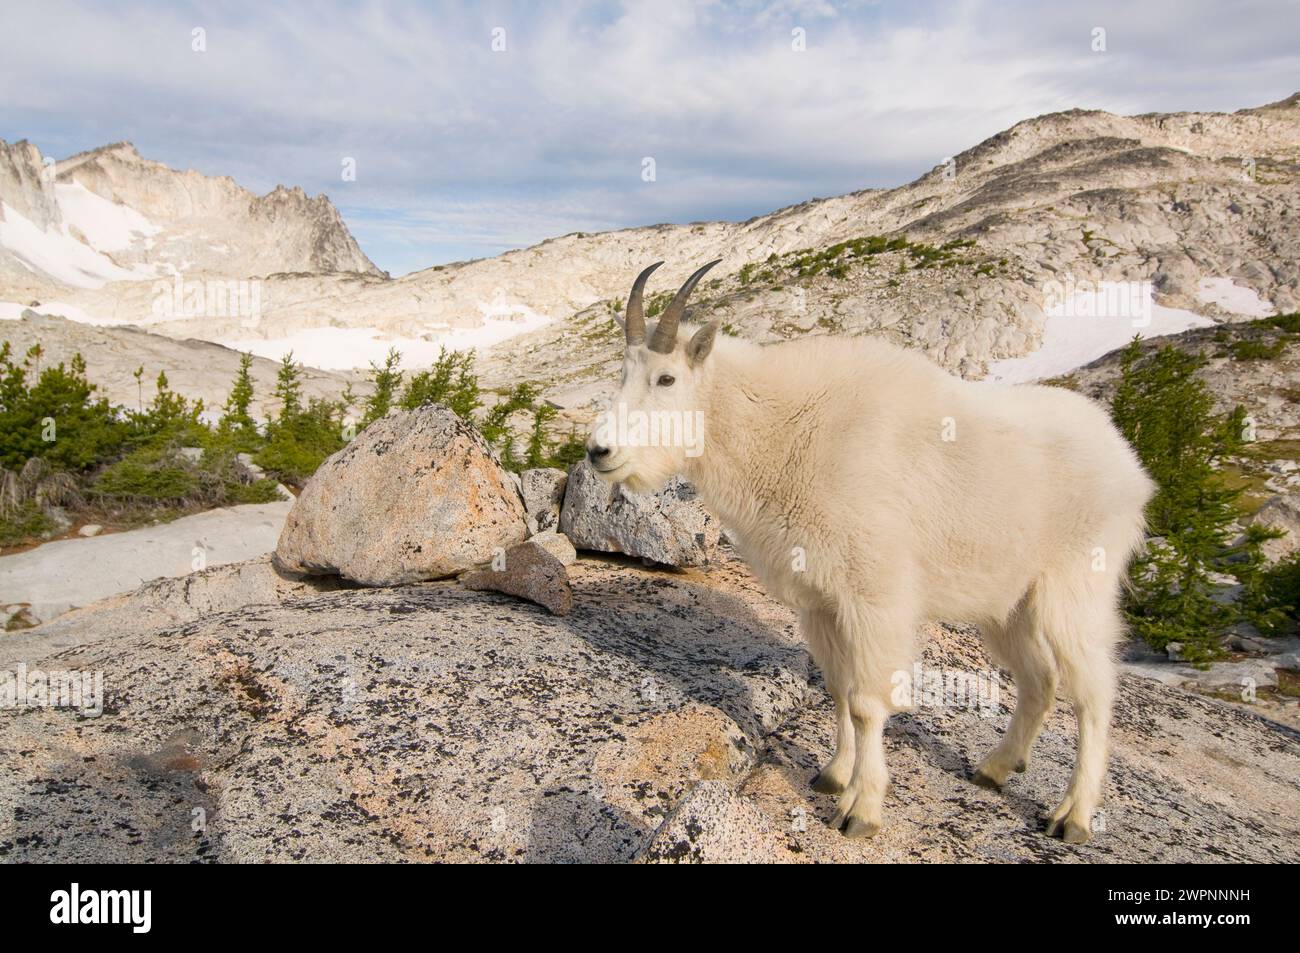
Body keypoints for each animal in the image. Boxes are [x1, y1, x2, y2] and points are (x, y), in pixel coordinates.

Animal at [586, 260, 1155, 843]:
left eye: (667, 378)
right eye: (622, 376)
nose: (599, 451)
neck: (780, 430)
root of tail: (1128, 463)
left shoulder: (873, 596)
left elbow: (865, 702)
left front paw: (861, 808)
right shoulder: (819, 602)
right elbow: (838, 688)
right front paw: (834, 776)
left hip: (1075, 588)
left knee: (1093, 693)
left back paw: (1075, 815)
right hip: (1008, 603)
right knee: (1039, 680)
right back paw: (994, 768)